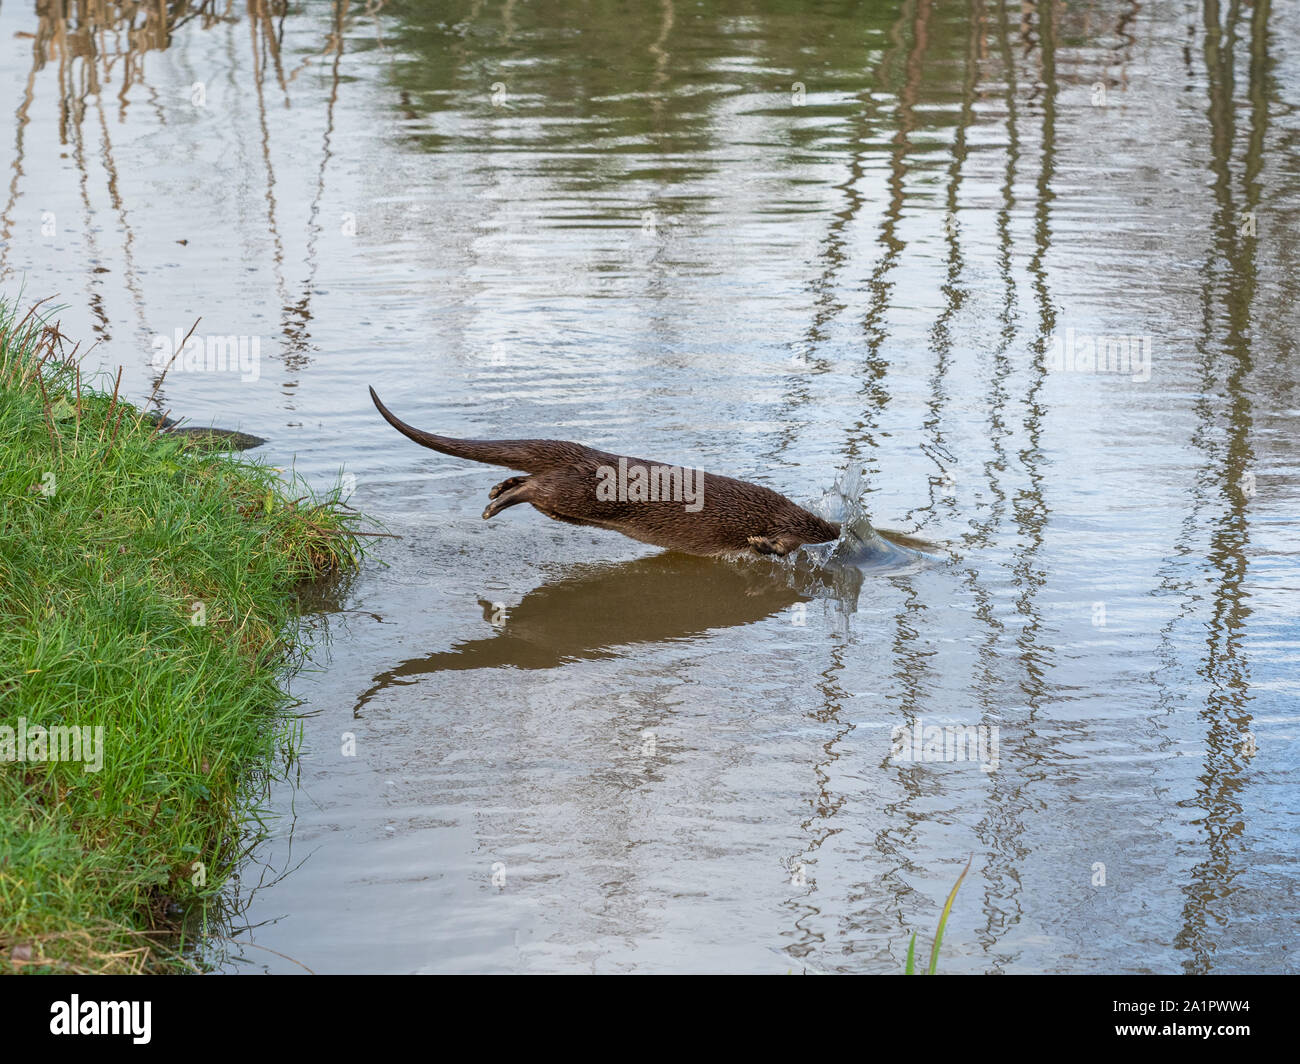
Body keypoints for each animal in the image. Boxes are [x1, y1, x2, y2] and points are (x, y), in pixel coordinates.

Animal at [369, 387, 840, 558]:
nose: (835, 530)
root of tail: (579, 452)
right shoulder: (788, 526)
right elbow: (779, 547)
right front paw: (762, 544)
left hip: (565, 502)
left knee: (530, 484)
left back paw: (497, 489)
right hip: (574, 491)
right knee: (535, 488)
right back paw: (497, 503)